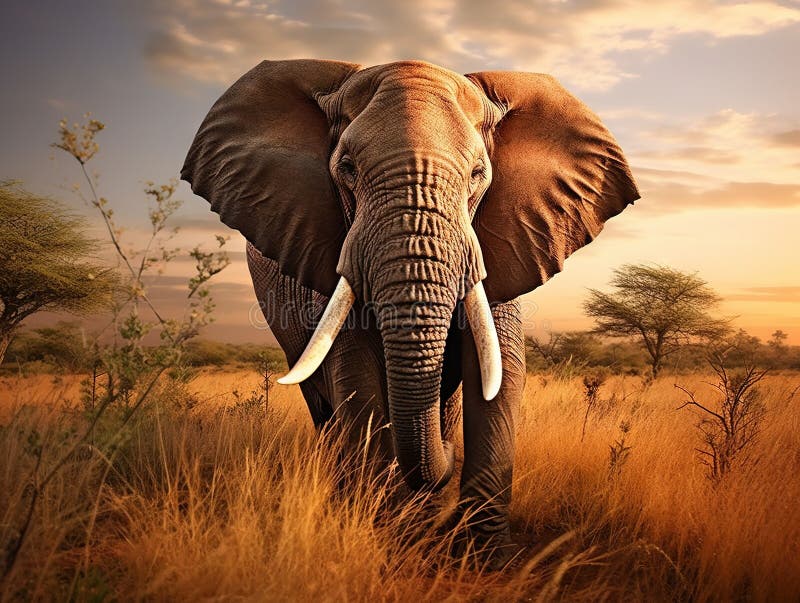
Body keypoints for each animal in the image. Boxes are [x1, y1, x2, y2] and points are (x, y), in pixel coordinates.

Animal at [182, 59, 639, 565]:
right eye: (347, 168)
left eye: (478, 174)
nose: (448, 456)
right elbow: (355, 372)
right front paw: (383, 537)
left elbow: (499, 370)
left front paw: (485, 560)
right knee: (323, 407)